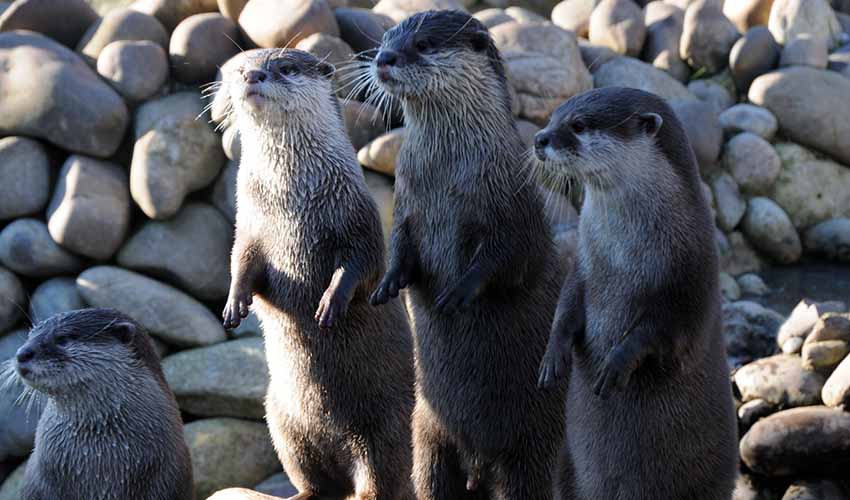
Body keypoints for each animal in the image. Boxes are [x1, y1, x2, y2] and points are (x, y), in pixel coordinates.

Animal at [217, 48, 415, 499]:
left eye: (286, 68)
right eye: (239, 69)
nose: (253, 76)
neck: (291, 202)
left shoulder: (358, 217)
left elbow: (362, 264)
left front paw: (330, 302)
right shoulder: (248, 224)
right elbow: (240, 262)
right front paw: (235, 303)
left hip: (388, 427)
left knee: (381, 478)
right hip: (281, 421)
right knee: (316, 478)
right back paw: (299, 493)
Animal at [367, 11, 567, 499]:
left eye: (421, 44)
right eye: (386, 38)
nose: (384, 58)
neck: (446, 179)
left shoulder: (512, 207)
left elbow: (509, 258)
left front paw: (458, 292)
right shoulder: (407, 203)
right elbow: (400, 245)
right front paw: (389, 283)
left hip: (534, 445)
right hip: (427, 434)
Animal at [534, 87, 738, 500]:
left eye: (578, 125)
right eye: (553, 117)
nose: (539, 138)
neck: (622, 259)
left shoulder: (690, 280)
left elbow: (666, 332)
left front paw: (617, 362)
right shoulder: (583, 263)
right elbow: (567, 304)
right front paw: (553, 354)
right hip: (566, 463)